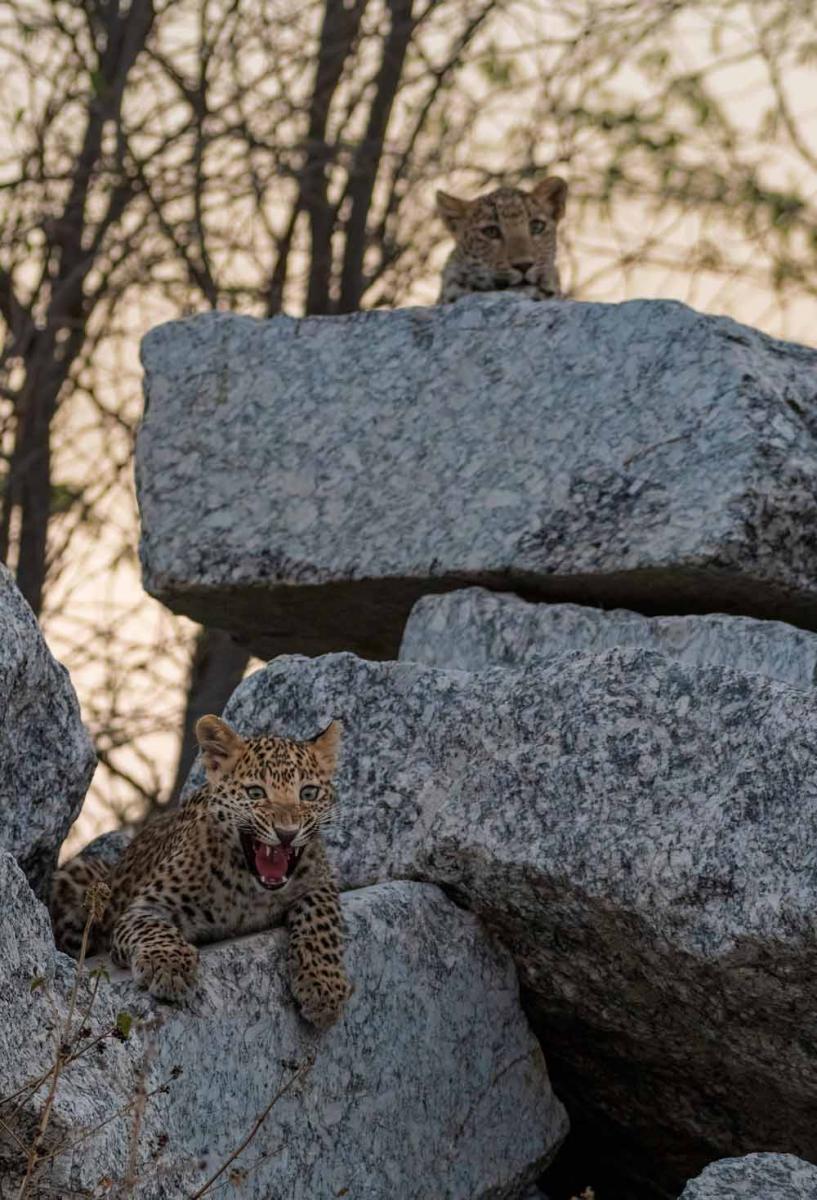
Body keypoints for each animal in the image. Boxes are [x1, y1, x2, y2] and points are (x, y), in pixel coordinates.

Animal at [49, 716, 351, 1030]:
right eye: (256, 793)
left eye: (308, 793)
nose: (287, 833)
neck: (252, 893)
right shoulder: (144, 907)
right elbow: (153, 928)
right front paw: (169, 967)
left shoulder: (321, 881)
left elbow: (320, 921)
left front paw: (323, 987)